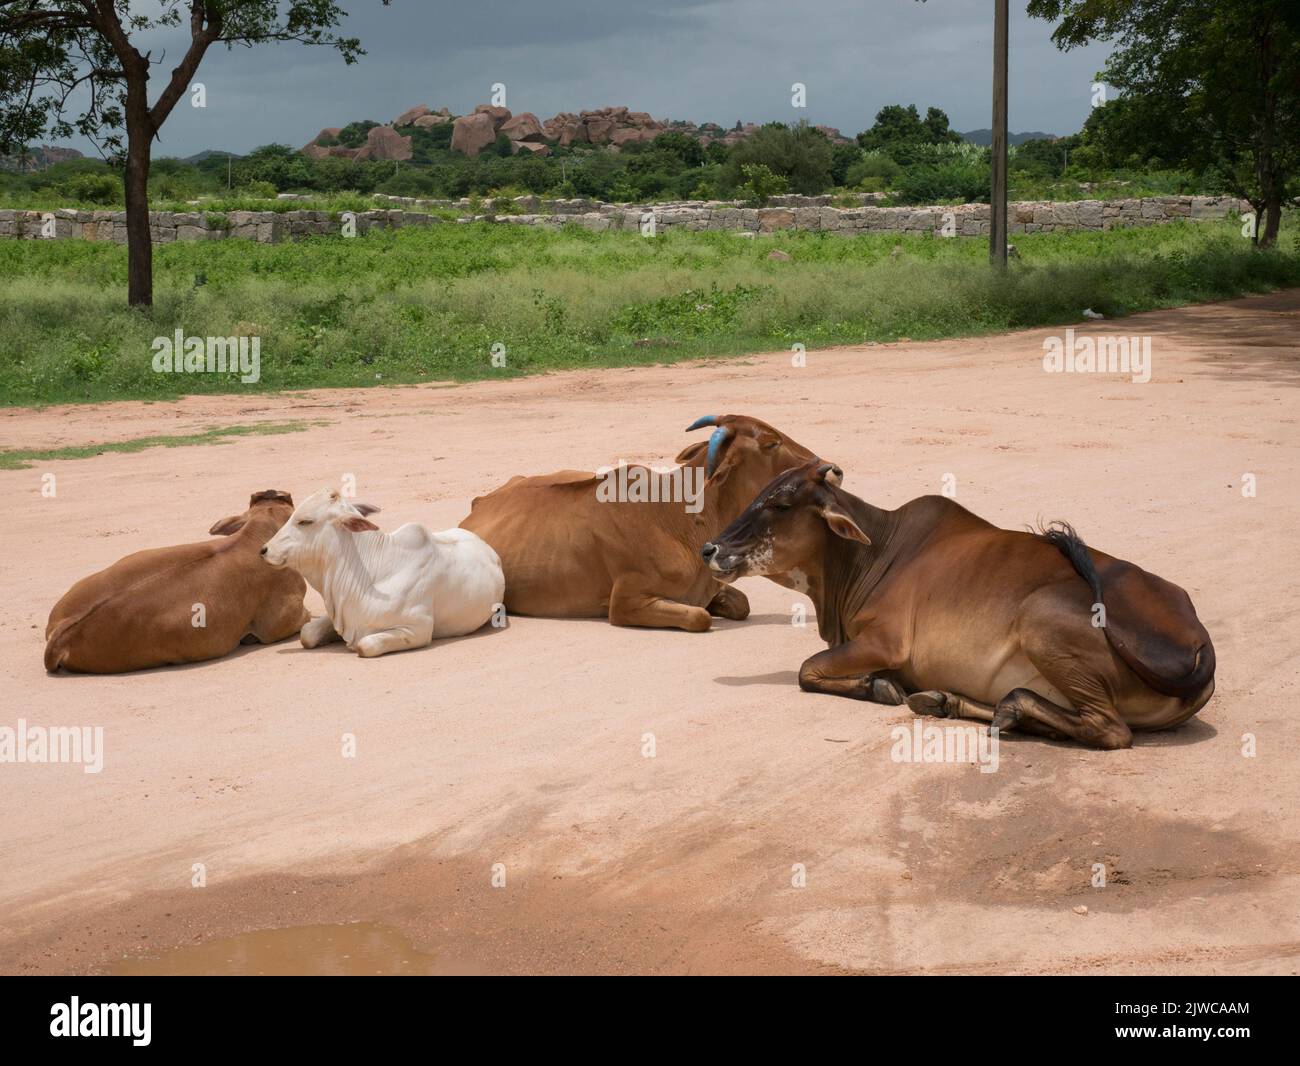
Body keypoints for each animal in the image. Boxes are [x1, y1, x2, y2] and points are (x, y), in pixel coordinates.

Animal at [260, 488, 505, 658]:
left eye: (305, 521)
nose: (264, 550)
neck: (372, 576)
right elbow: (307, 634)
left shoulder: (419, 629)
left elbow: (365, 645)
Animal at [459, 414, 822, 631]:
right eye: (771, 442)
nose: (823, 465)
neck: (678, 517)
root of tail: (479, 503)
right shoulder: (625, 602)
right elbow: (699, 617)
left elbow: (740, 603)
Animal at [701, 461, 1216, 749]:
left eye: (782, 504)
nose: (710, 549)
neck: (873, 553)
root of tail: (1200, 641)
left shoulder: (885, 643)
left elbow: (807, 669)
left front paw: (877, 686)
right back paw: (953, 702)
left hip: (1043, 617)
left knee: (1110, 730)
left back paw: (1010, 710)